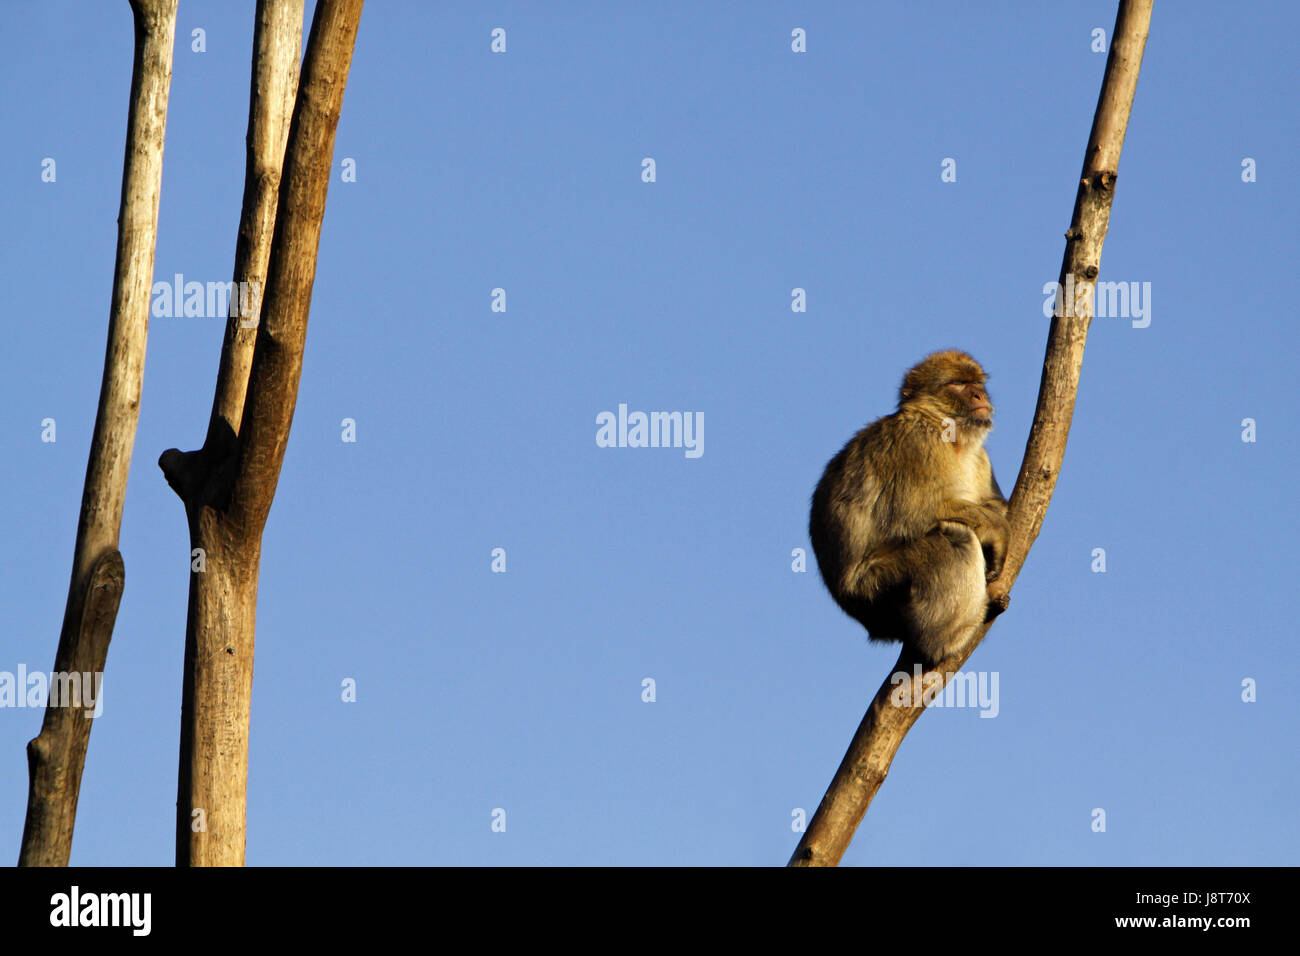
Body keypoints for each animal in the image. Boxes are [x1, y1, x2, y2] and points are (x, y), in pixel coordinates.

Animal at [808, 350, 1009, 665]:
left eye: (977, 383)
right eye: (957, 384)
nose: (979, 395)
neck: (952, 438)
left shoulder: (981, 459)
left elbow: (994, 504)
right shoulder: (918, 444)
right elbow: (913, 515)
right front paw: (999, 530)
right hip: (874, 588)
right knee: (954, 538)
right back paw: (947, 640)